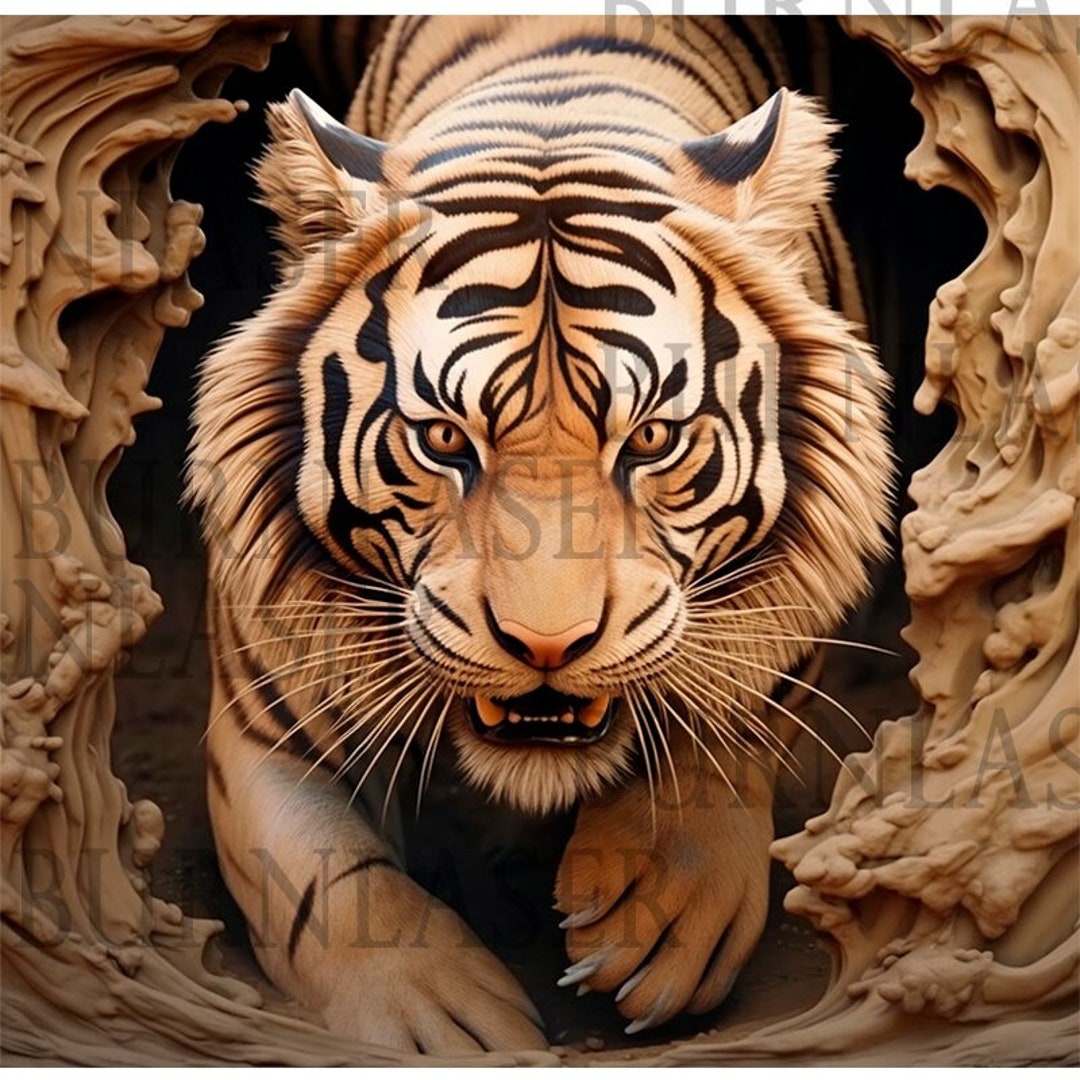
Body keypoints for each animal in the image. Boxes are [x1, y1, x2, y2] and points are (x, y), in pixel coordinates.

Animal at [188, 14, 892, 1055]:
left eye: (650, 439)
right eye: (445, 438)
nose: (548, 646)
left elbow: (732, 701)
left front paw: (657, 903)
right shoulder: (262, 722)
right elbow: (327, 884)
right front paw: (448, 1027)